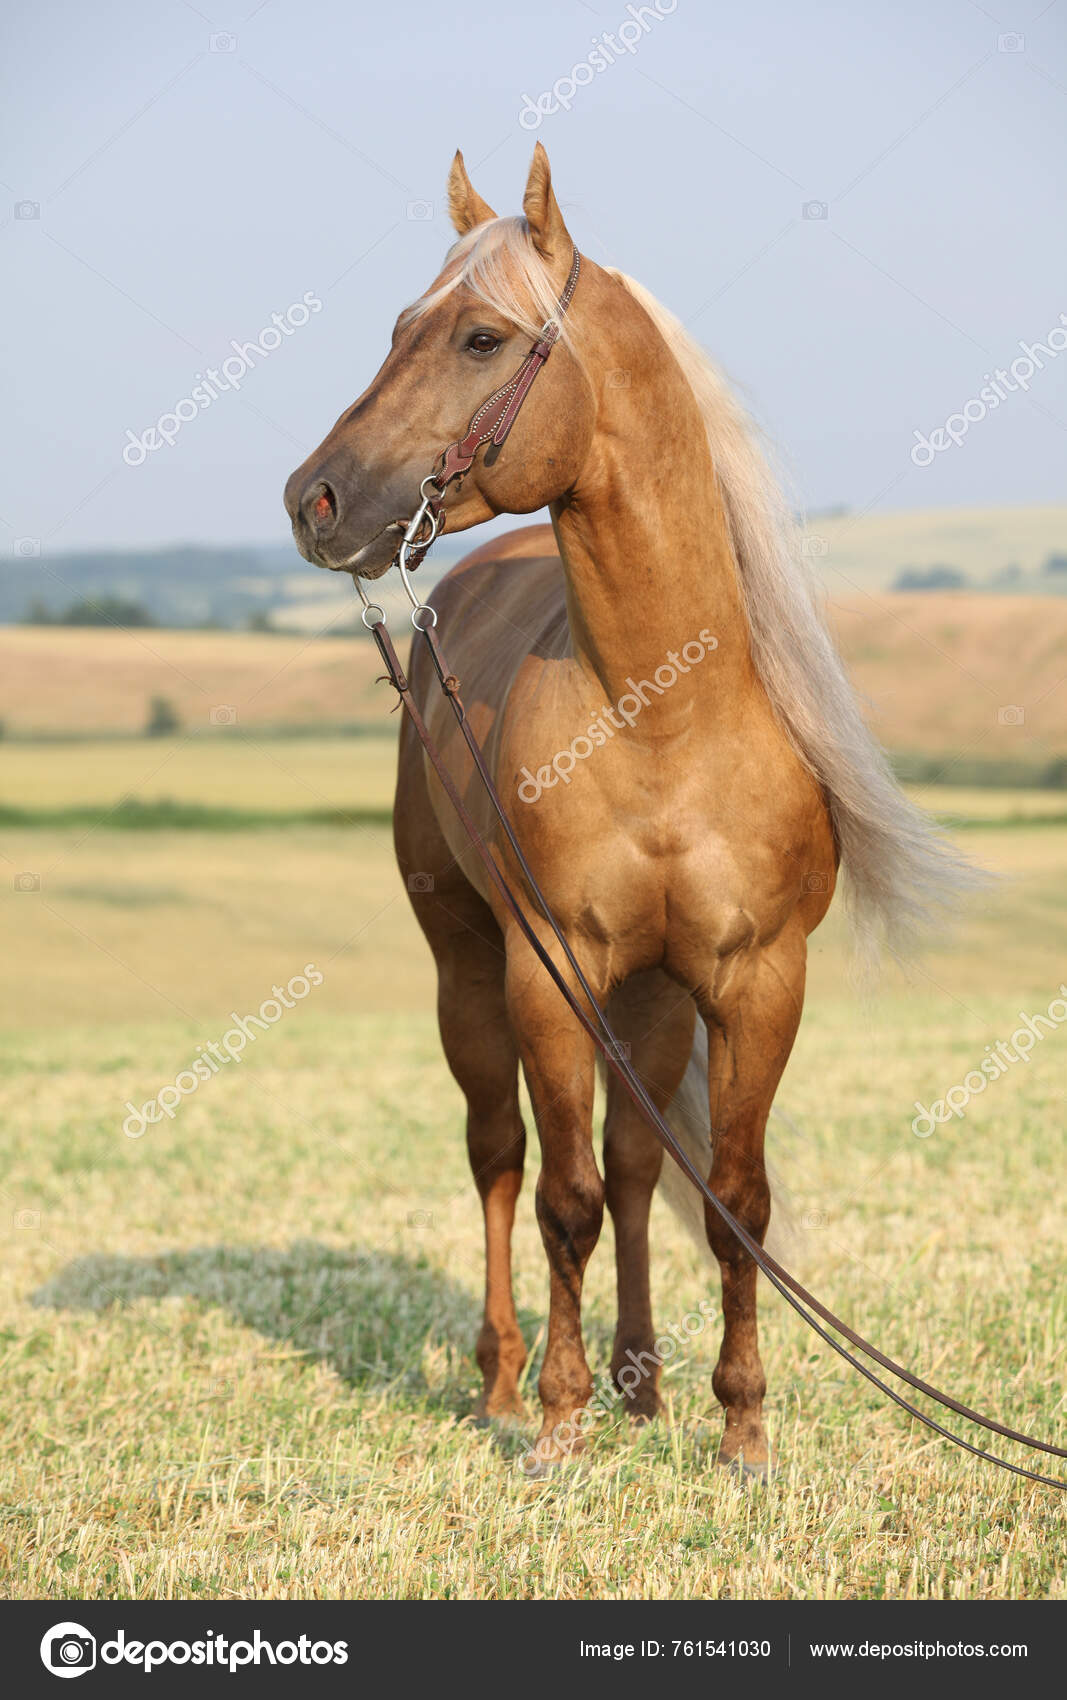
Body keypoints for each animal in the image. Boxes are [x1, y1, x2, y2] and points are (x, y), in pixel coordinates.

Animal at [284, 145, 966, 1476]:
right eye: (397, 328)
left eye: (482, 338)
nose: (314, 498)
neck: (662, 713)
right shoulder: (548, 973)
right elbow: (561, 1200)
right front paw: (557, 1424)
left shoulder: (753, 979)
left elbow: (730, 1199)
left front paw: (740, 1428)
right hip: (467, 965)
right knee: (499, 1157)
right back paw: (506, 1384)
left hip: (649, 995)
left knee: (639, 1163)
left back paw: (642, 1385)